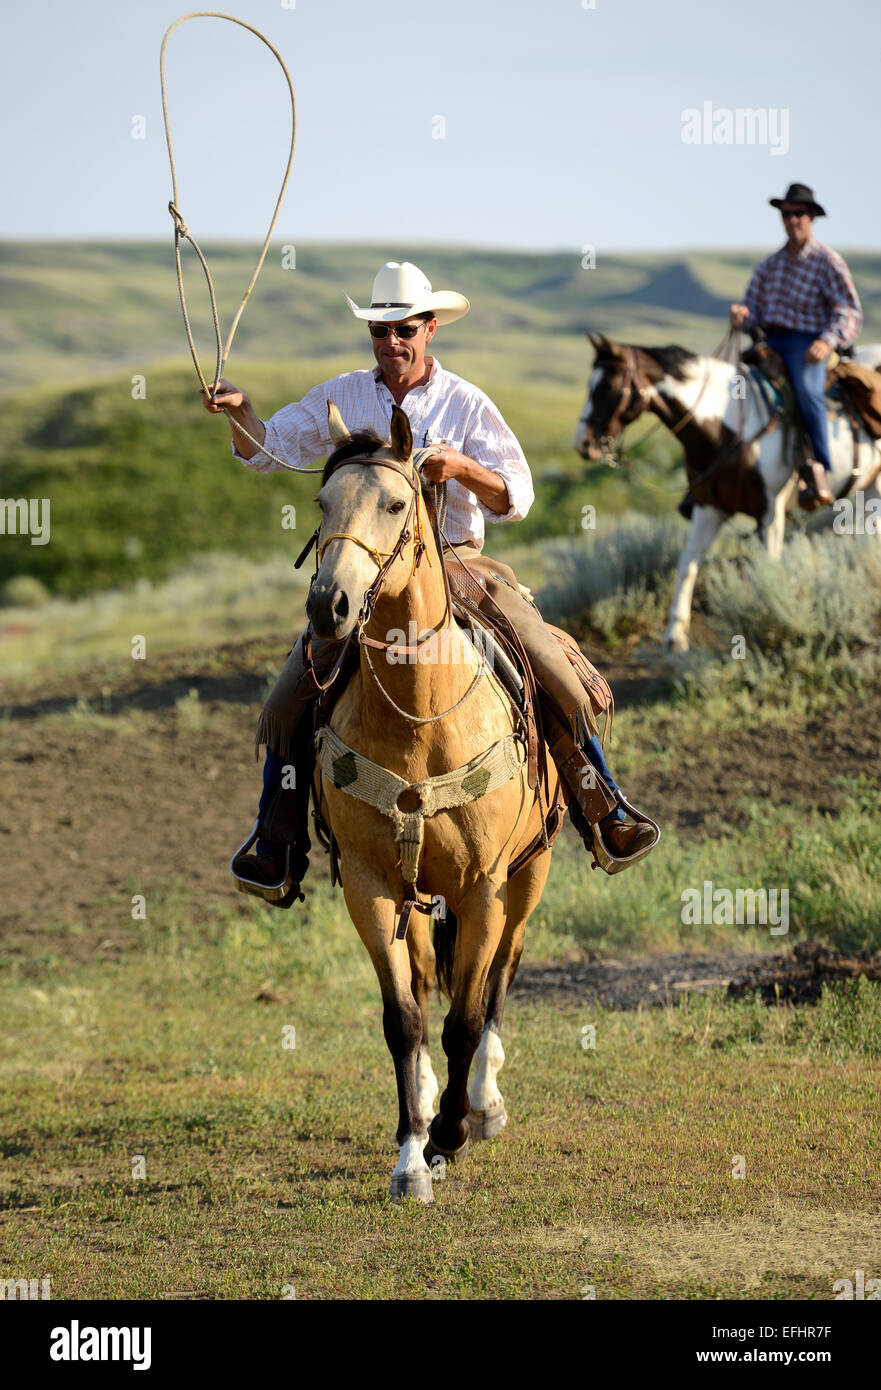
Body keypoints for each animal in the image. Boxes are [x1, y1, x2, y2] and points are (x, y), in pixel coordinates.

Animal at [308, 399, 562, 1203]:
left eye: (395, 503)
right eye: (321, 503)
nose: (328, 605)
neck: (418, 720)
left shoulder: (484, 886)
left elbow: (466, 1017)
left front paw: (452, 1132)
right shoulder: (369, 885)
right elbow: (405, 1020)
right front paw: (411, 1155)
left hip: (528, 877)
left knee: (500, 980)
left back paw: (481, 1102)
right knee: (425, 983)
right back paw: (426, 1108)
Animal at [573, 333, 881, 651]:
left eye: (608, 388)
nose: (582, 444)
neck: (725, 431)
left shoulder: (770, 512)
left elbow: (767, 568)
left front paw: (766, 623)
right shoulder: (709, 507)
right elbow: (688, 562)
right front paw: (675, 635)